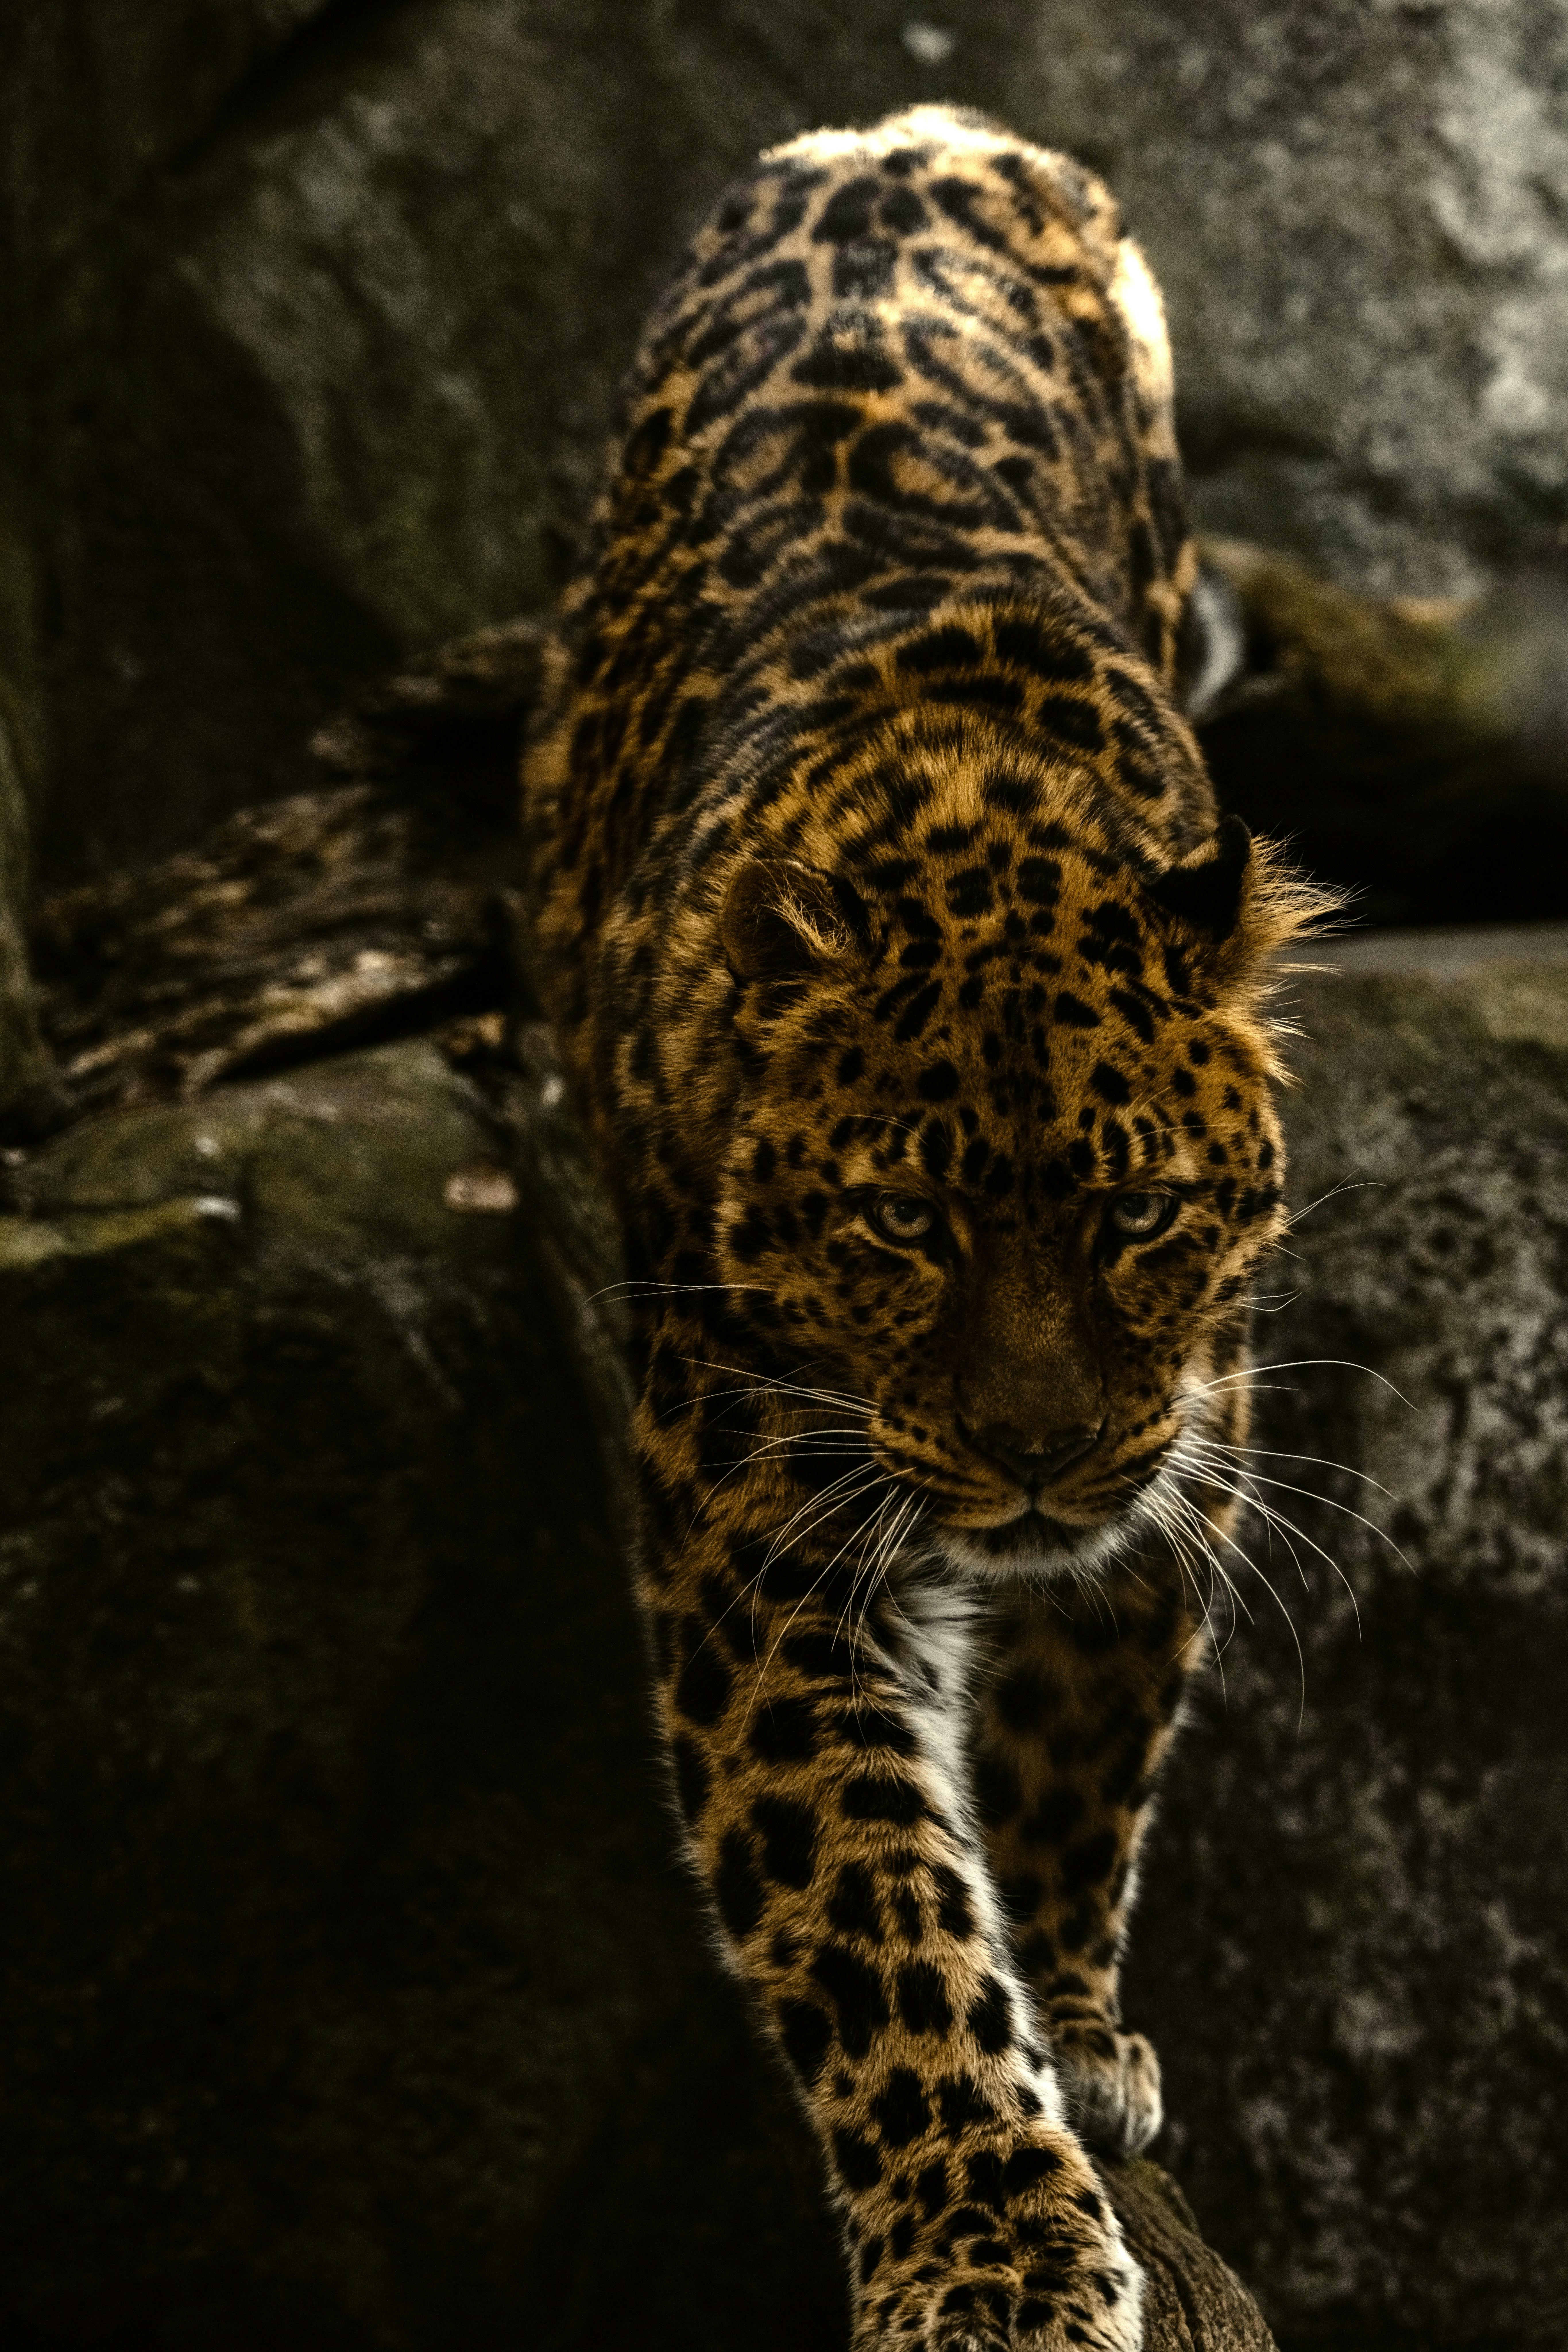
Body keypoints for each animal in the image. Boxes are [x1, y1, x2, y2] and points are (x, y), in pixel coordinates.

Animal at [523, 105, 1328, 2352]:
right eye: (895, 1222)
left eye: (1137, 1207)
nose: (1035, 1450)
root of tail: (907, 128)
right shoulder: (759, 1547)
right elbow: (871, 1916)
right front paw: (989, 2249)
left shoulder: (1182, 1445)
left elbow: (1072, 1763)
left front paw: (1074, 2022)